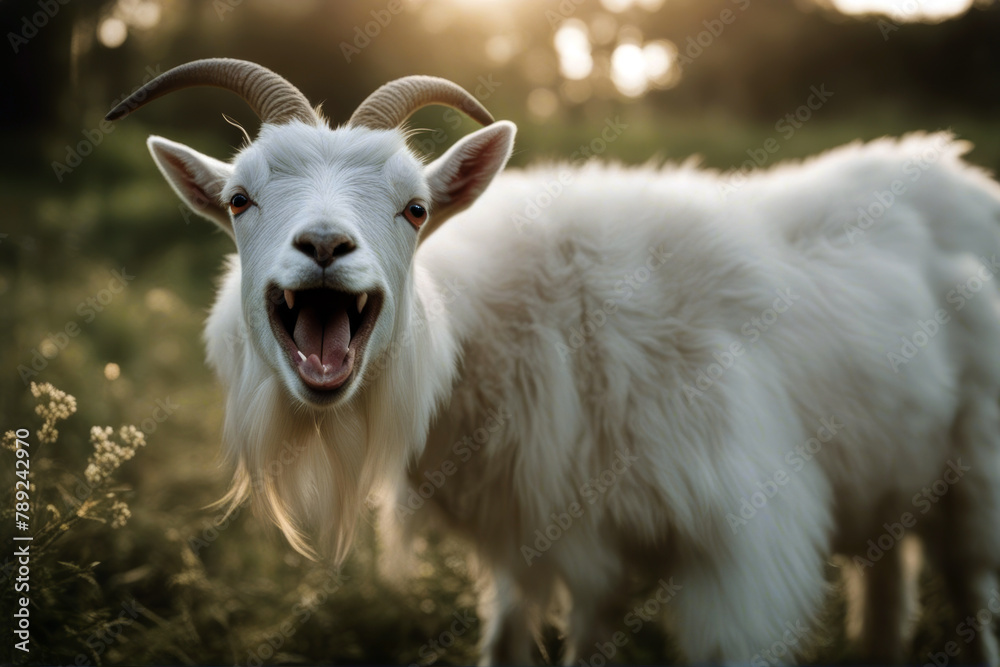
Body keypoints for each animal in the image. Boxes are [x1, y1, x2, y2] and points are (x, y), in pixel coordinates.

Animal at [108, 58, 1000, 664]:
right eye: (239, 199)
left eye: (415, 207)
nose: (325, 246)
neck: (504, 324)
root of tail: (961, 169)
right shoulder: (542, 537)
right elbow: (519, 640)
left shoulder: (739, 549)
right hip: (892, 477)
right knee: (887, 595)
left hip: (978, 477)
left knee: (973, 595)